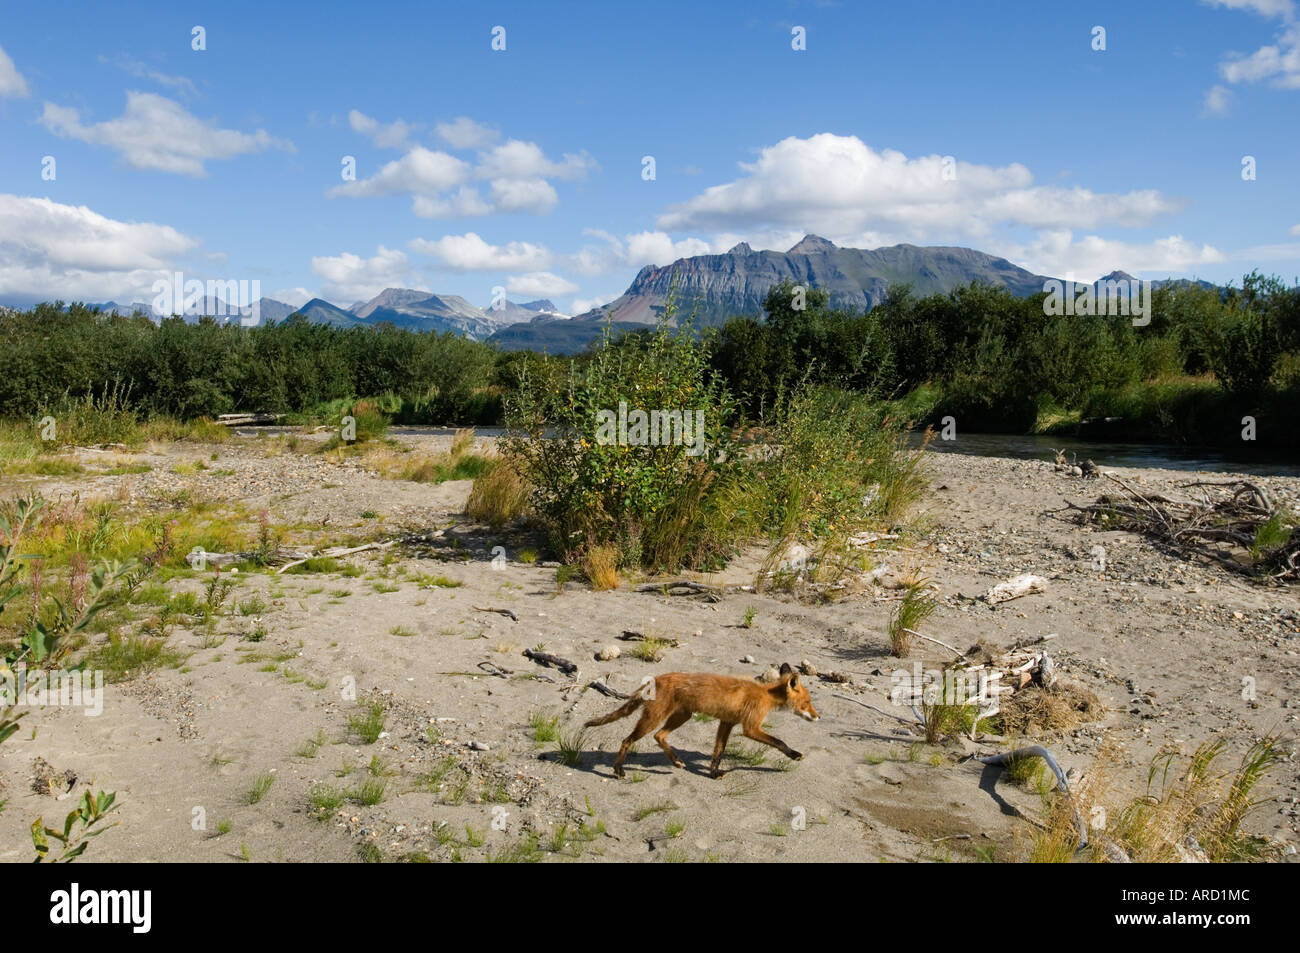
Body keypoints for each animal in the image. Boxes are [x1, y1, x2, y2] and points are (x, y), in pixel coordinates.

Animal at [583, 663, 819, 779]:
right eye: (807, 703)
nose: (819, 717)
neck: (765, 695)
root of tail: (656, 678)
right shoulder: (750, 728)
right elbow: (779, 742)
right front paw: (794, 754)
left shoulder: (726, 723)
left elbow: (718, 752)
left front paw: (713, 773)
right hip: (654, 719)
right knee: (627, 741)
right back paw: (618, 770)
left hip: (681, 716)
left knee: (659, 736)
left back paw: (676, 761)